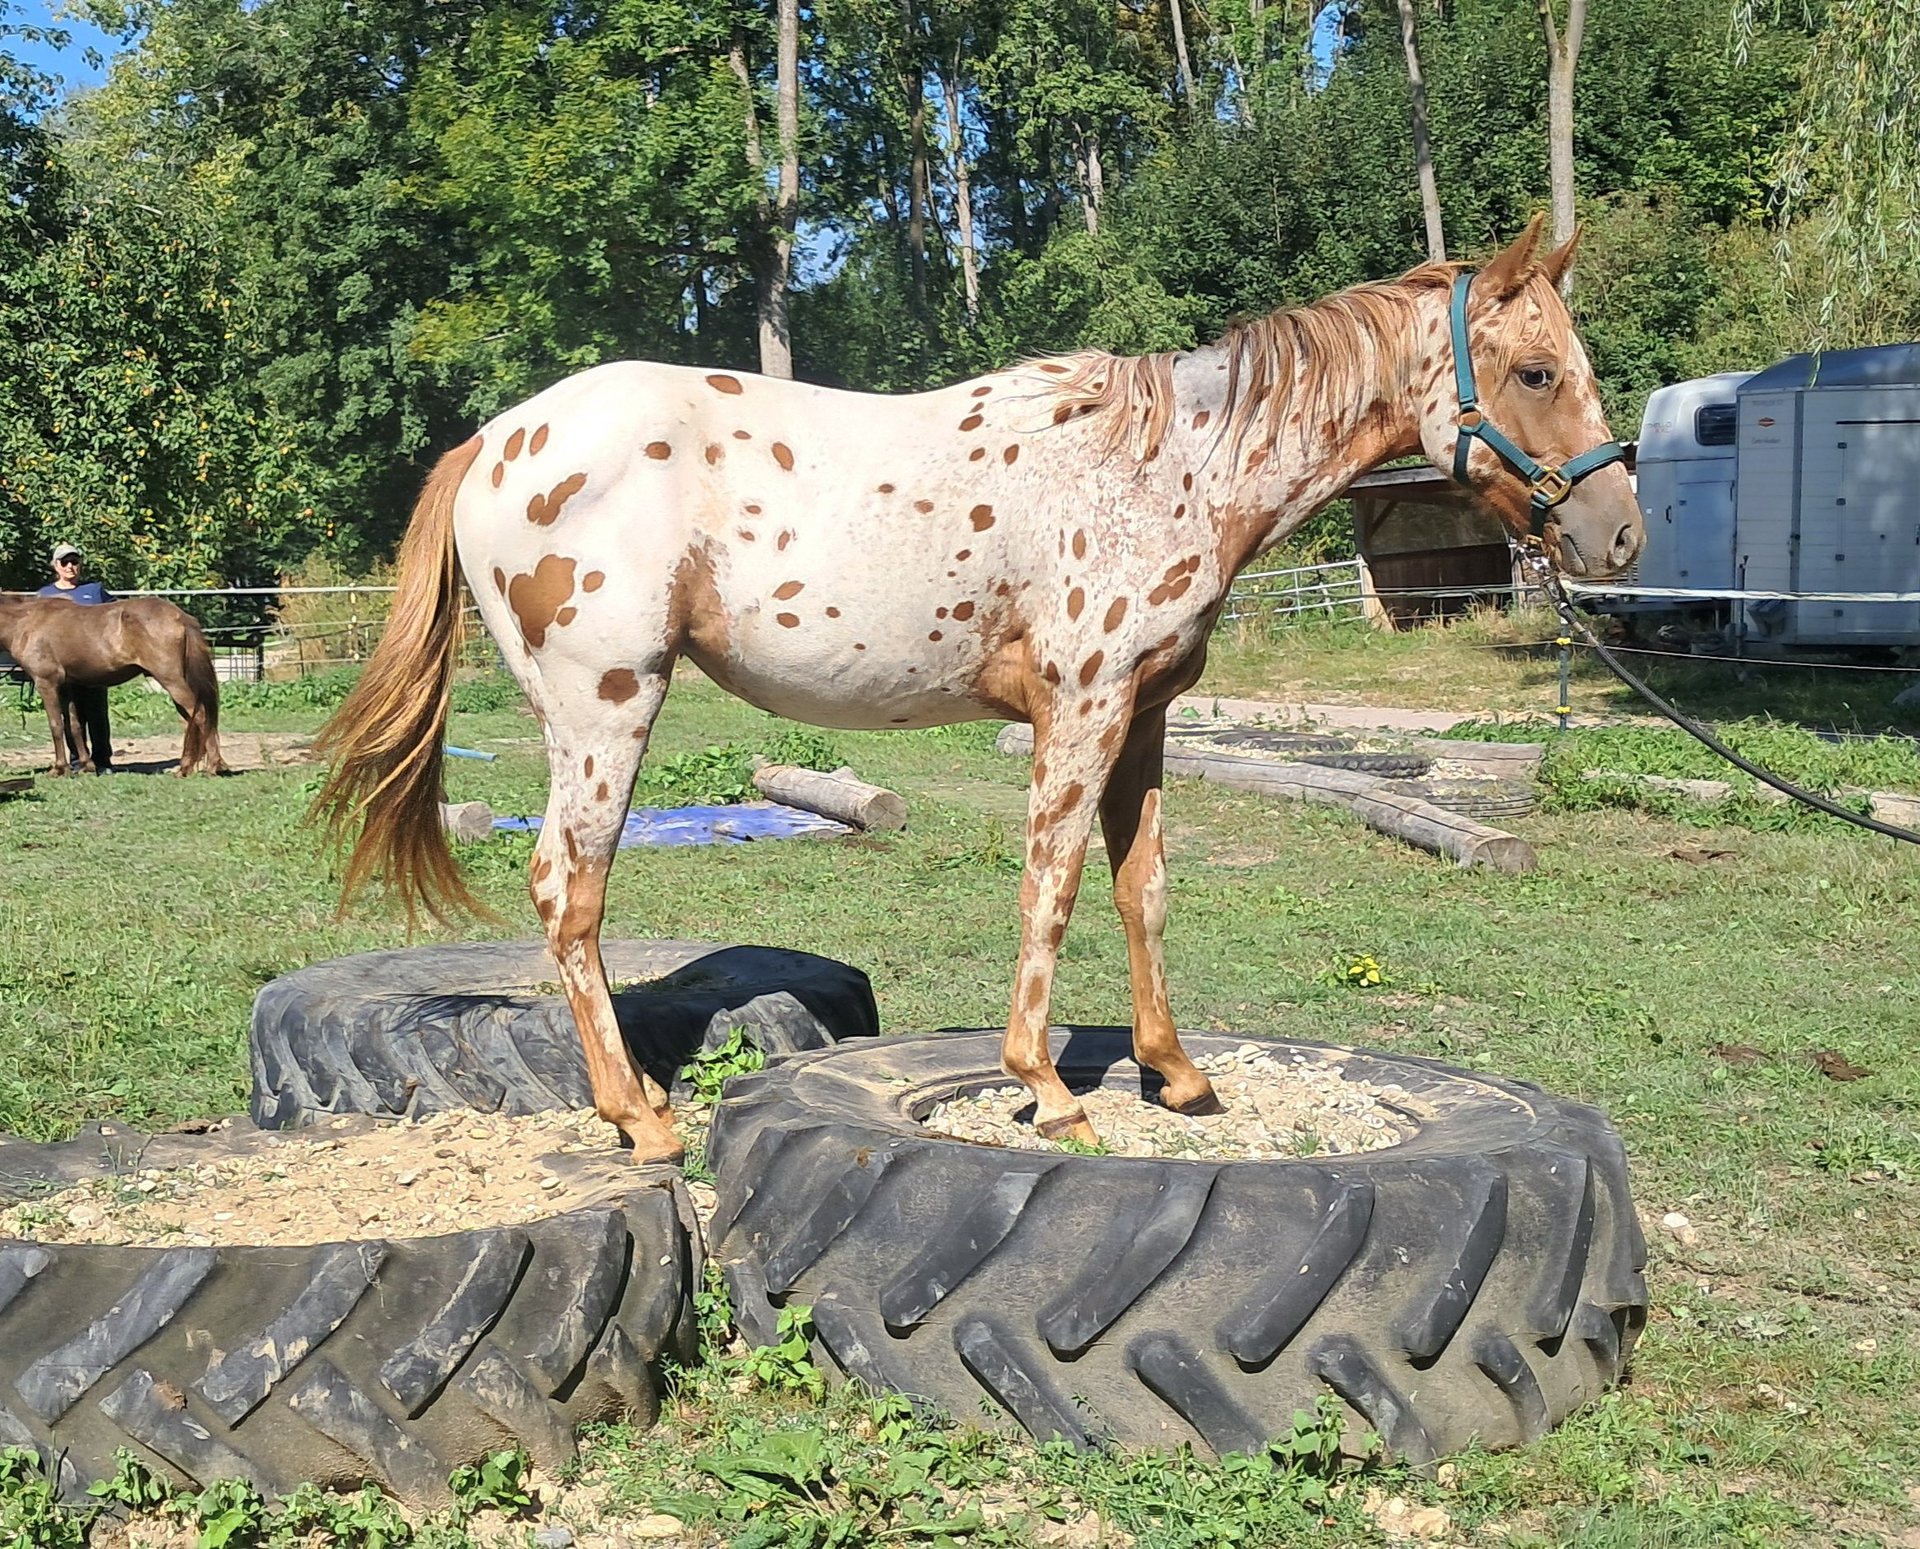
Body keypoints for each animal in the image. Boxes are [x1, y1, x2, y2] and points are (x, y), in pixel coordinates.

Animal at [0, 594, 228, 776]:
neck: (26, 621)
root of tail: (180, 616)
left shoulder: (47, 683)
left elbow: (56, 726)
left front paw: (59, 769)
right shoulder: (66, 687)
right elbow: (74, 726)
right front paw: (87, 766)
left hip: (172, 680)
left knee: (201, 715)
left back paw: (212, 766)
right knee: (189, 719)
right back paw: (186, 768)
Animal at [316, 216, 1642, 1163]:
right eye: (1535, 371)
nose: (1619, 534)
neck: (1165, 465)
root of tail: (493, 443)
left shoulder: (1146, 715)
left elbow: (1143, 891)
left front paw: (1176, 1072)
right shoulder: (1084, 706)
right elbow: (1052, 891)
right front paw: (1050, 1089)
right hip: (606, 710)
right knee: (567, 891)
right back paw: (639, 1116)